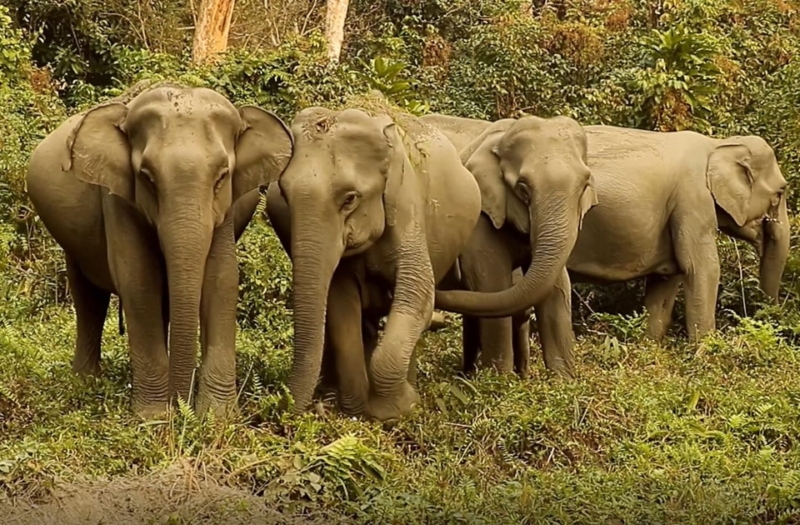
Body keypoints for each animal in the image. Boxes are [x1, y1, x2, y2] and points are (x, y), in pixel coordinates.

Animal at [25, 84, 292, 417]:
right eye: (147, 177)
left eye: (222, 177)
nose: (180, 406)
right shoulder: (118, 199)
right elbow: (139, 281)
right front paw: (153, 418)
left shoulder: (225, 211)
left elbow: (222, 280)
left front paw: (217, 417)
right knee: (88, 296)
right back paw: (85, 381)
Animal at [264, 106, 481, 422]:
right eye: (284, 195)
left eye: (350, 199)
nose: (278, 406)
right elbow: (341, 307)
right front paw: (356, 410)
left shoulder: (406, 207)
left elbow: (416, 295)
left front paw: (398, 408)